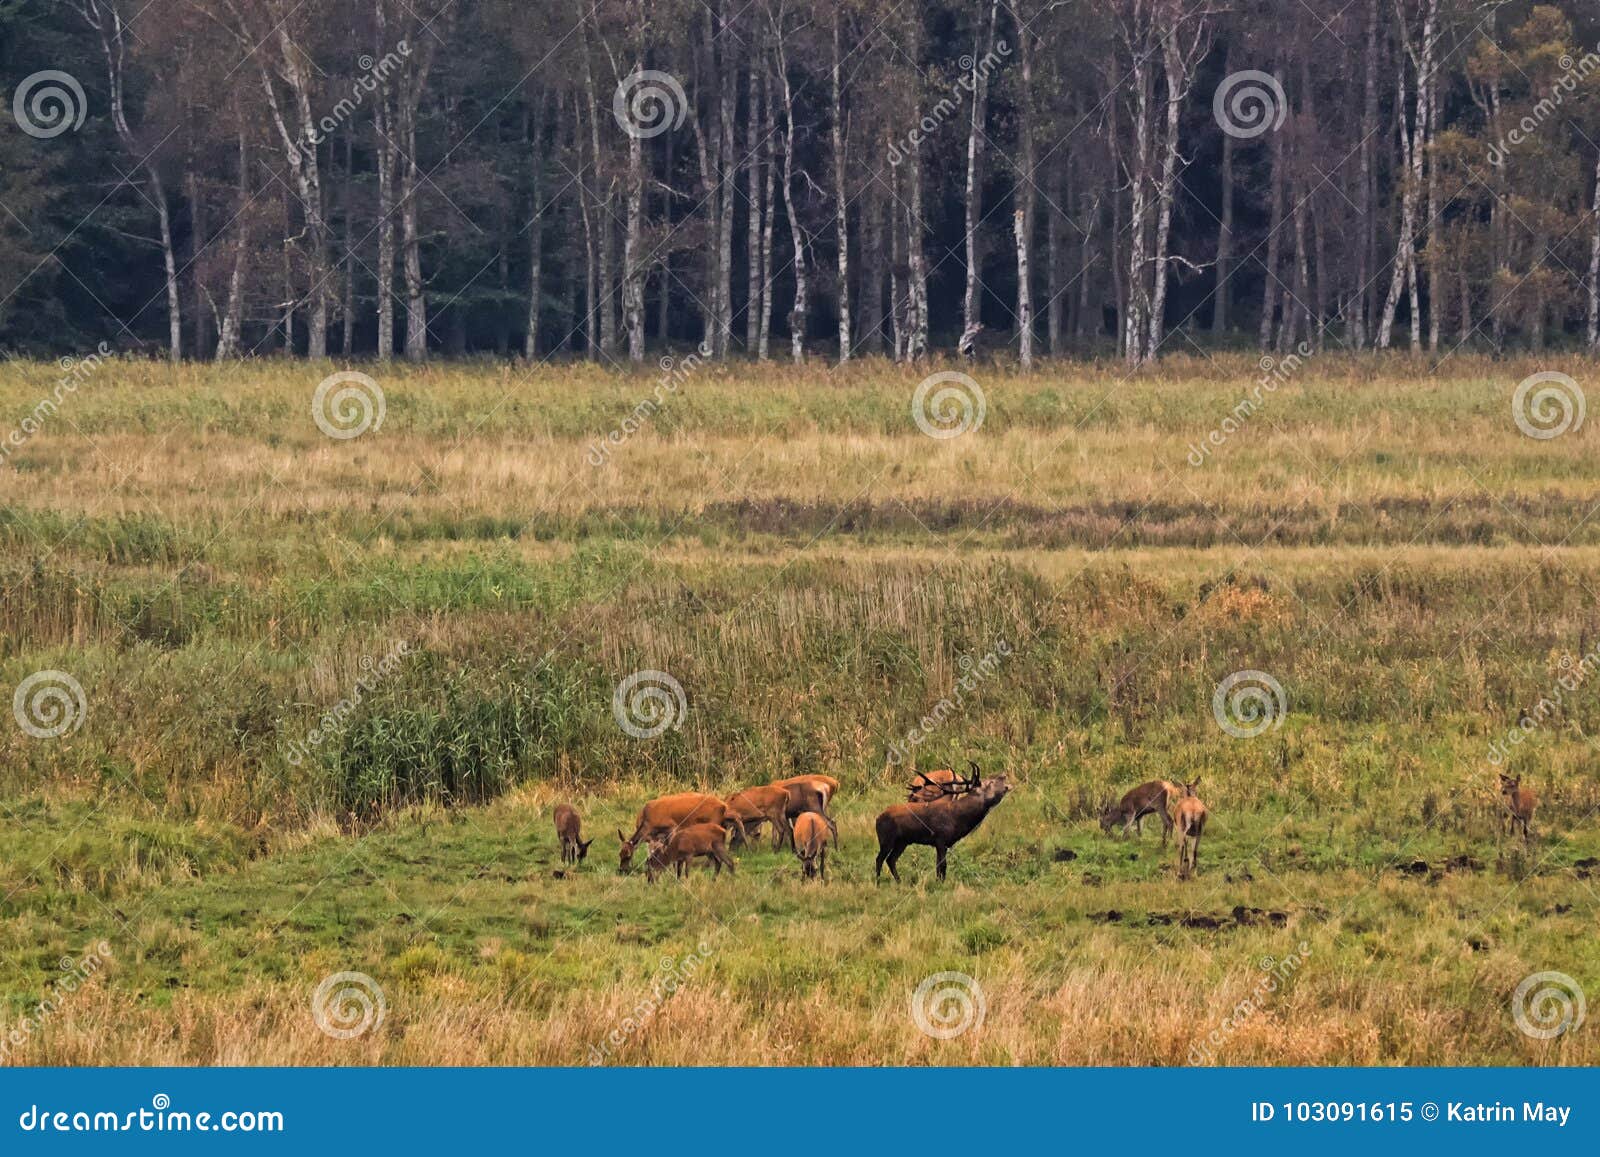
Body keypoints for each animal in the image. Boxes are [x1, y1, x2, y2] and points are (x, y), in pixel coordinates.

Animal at [875, 767, 1011, 882]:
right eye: (990, 782)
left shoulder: (942, 843)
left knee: (891, 859)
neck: (958, 819)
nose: (1004, 775)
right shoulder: (940, 838)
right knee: (880, 859)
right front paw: (942, 884)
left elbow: (938, 866)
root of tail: (877, 818)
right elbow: (943, 866)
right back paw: (878, 882)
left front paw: (938, 882)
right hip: (886, 839)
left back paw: (899, 881)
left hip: (902, 842)